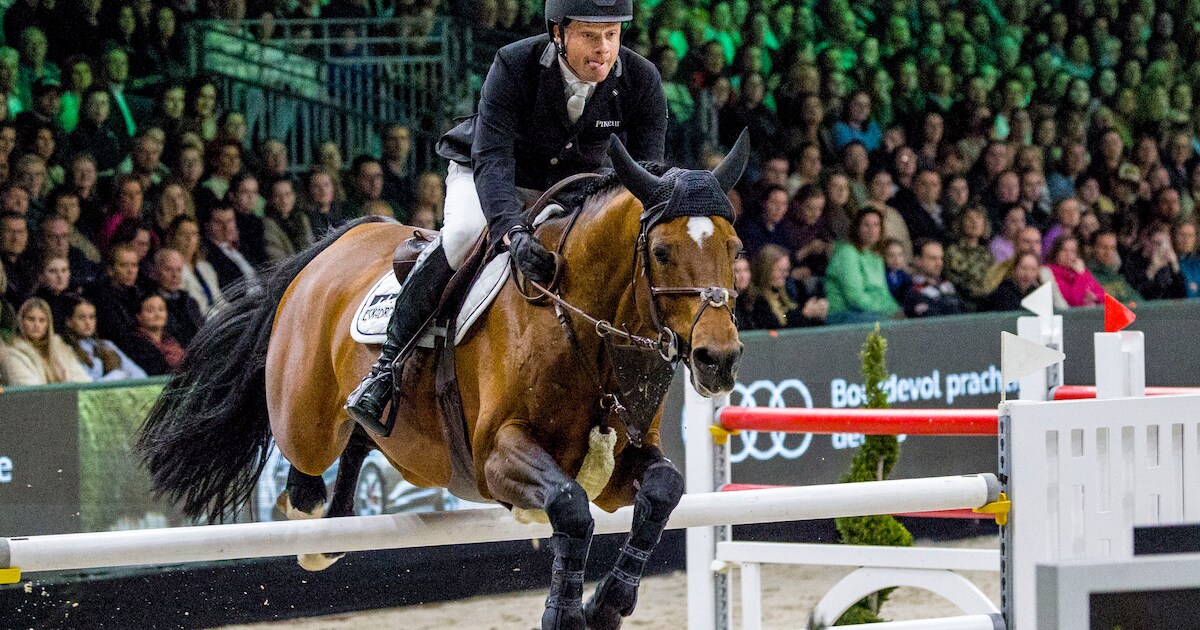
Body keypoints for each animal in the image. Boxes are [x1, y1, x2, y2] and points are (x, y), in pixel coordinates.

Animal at [138, 133, 749, 630]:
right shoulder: (496, 457)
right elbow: (571, 509)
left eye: (734, 248)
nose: (718, 360)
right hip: (303, 415)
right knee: (309, 455)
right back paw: (311, 519)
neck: (580, 324)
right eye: (663, 252)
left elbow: (661, 491)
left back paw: (334, 520)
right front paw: (566, 612)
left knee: (361, 439)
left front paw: (607, 605)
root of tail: (332, 244)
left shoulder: (620, 468)